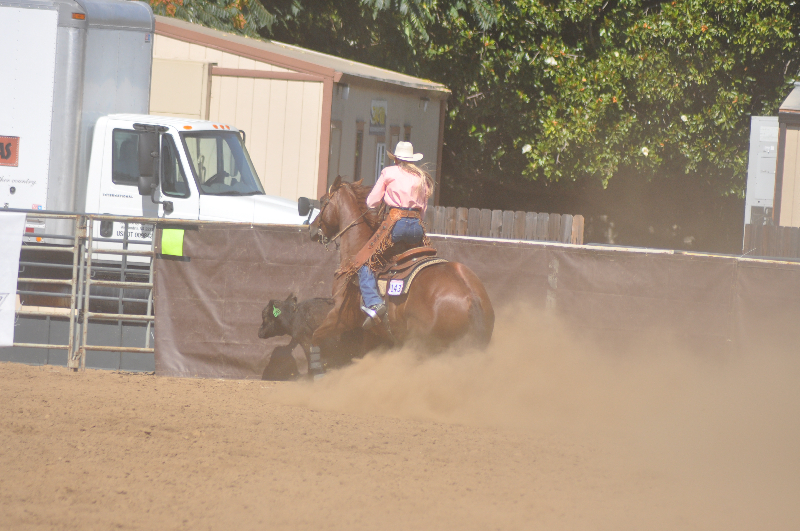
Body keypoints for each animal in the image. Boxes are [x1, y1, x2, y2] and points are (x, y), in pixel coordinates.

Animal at [306, 176, 494, 359]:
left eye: (323, 201)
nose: (312, 229)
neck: (356, 251)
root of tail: (471, 298)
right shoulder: (372, 333)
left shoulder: (340, 317)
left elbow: (315, 337)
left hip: (423, 346)